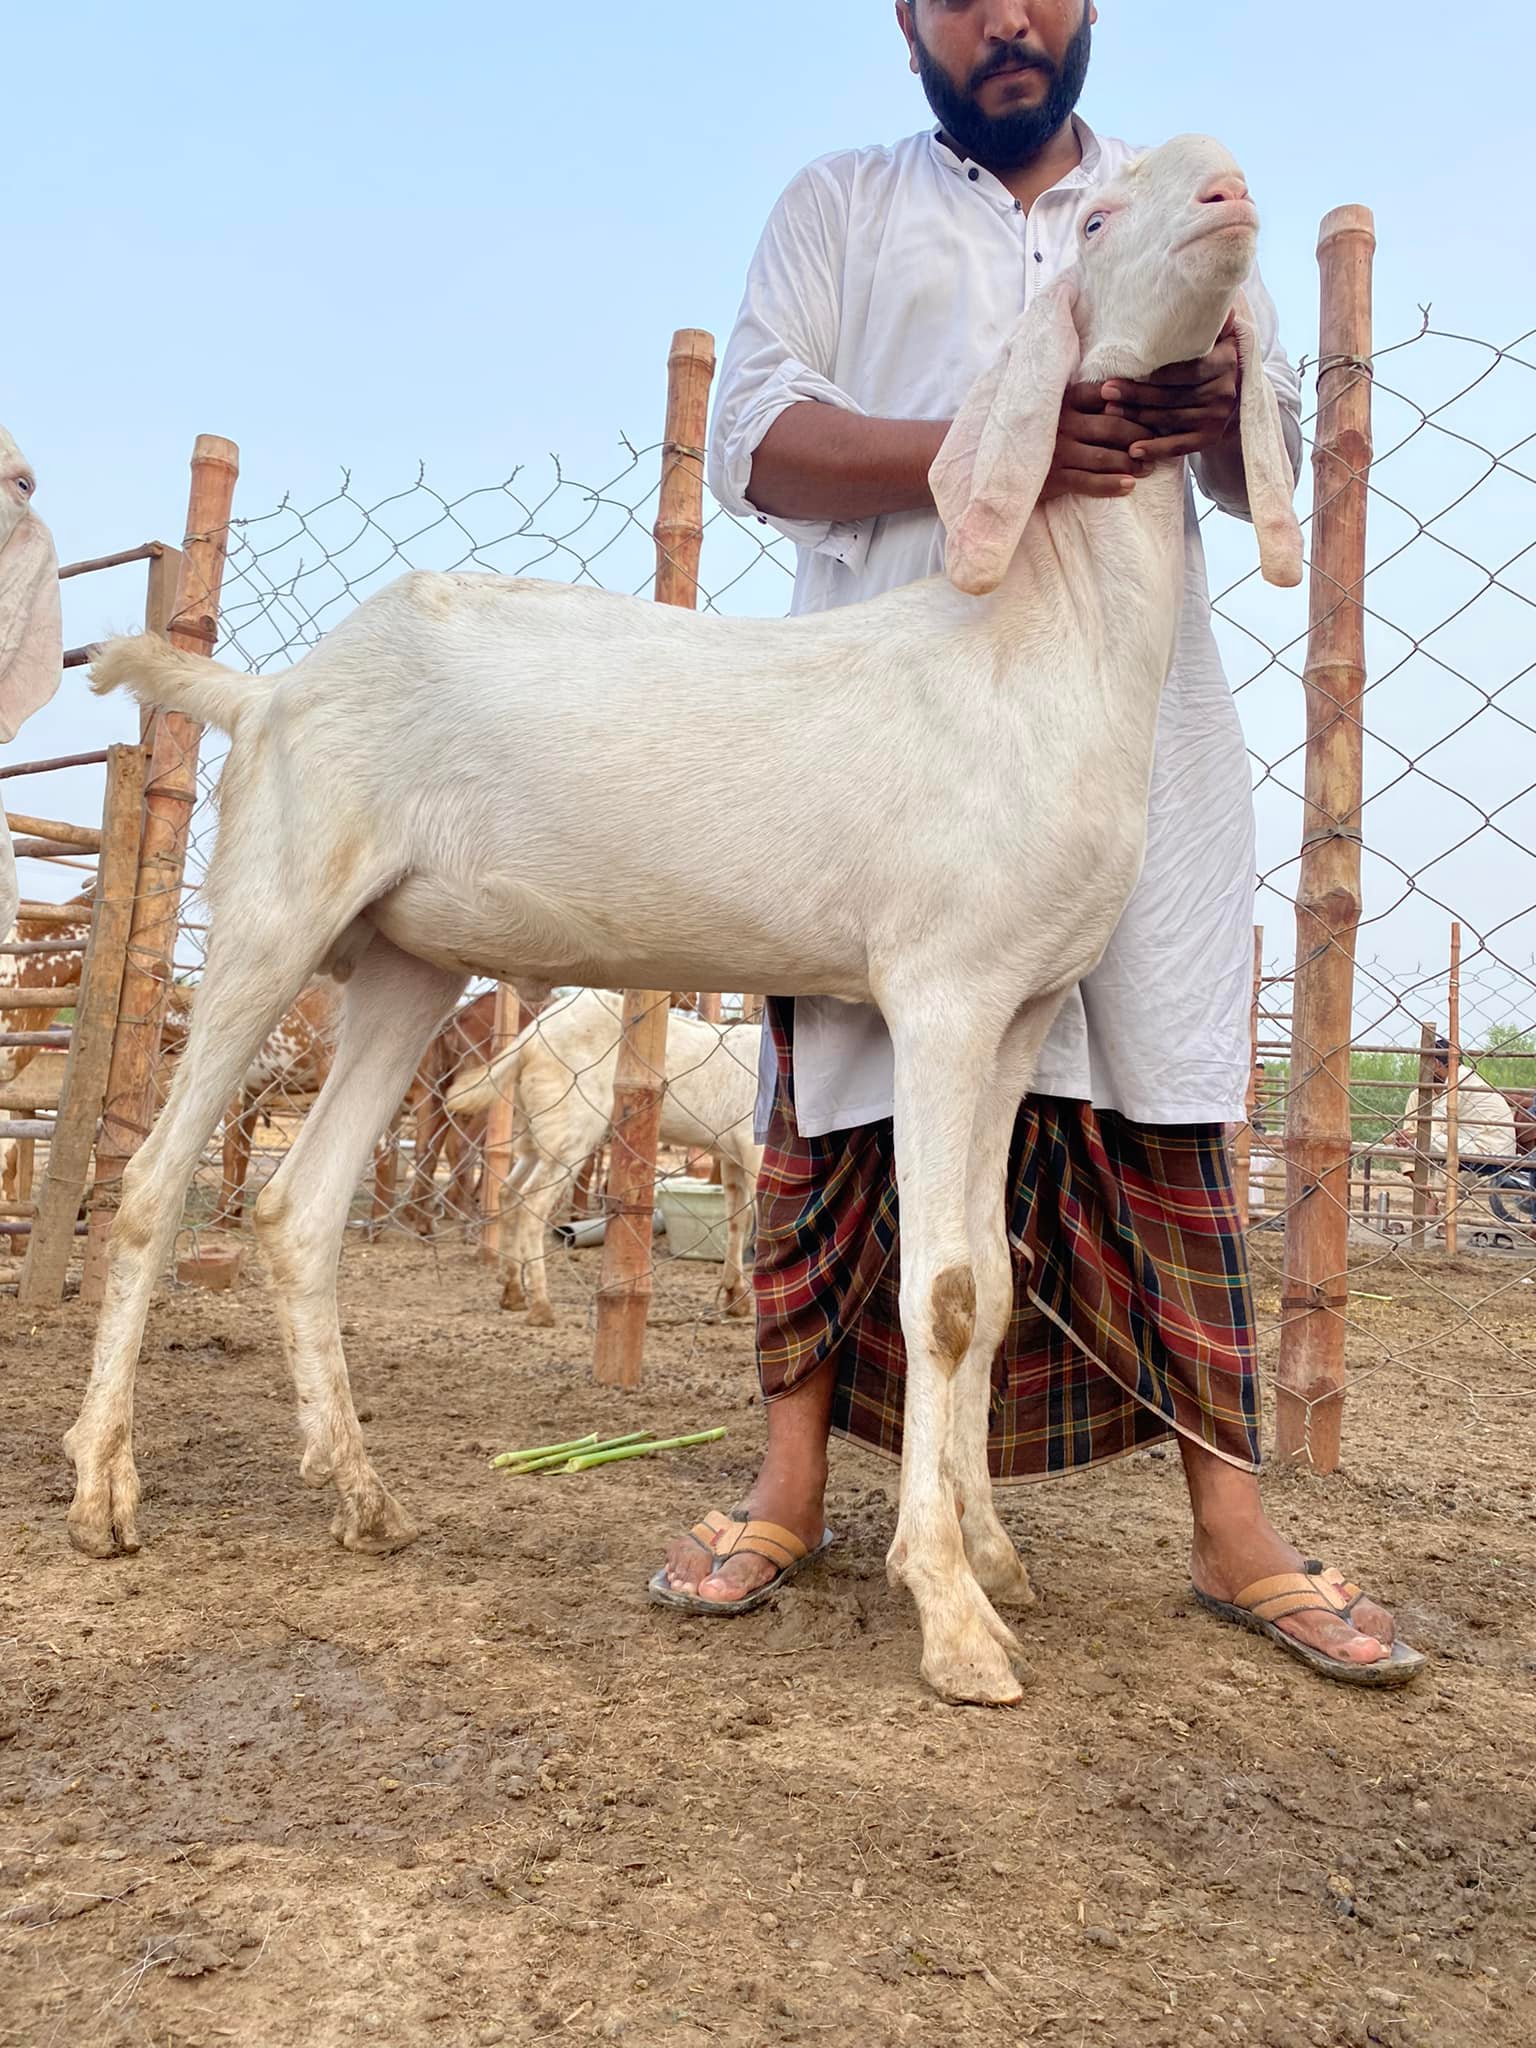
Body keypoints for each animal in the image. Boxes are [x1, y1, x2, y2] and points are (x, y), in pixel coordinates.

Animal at [446, 986, 762, 1326]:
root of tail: (530, 1039)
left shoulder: (733, 1154)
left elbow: (738, 1219)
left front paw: (735, 1296)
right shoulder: (755, 1149)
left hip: (538, 1129)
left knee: (509, 1192)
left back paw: (512, 1291)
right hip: (572, 1128)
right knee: (533, 1202)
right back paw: (541, 1306)